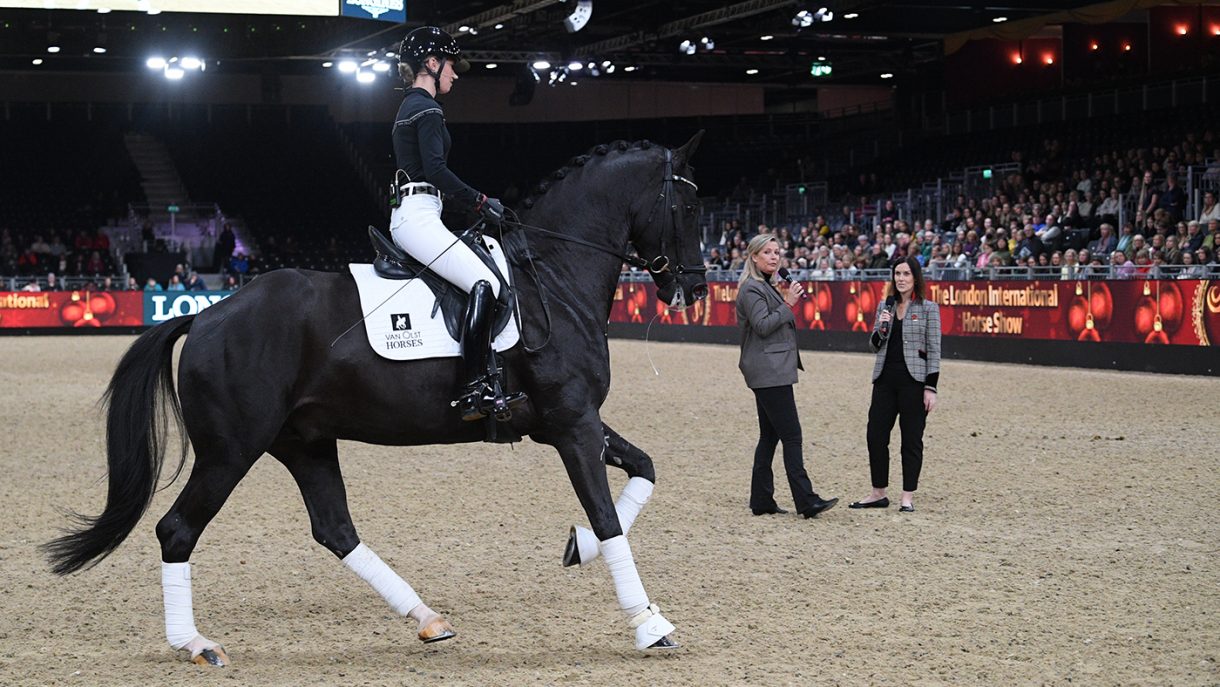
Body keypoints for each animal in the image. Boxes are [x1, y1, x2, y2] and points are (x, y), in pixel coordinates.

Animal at [43, 132, 709, 665]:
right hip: (231, 450)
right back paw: (196, 644)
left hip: (304, 442)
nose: (695, 289)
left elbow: (644, 470)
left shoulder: (568, 421)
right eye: (686, 205)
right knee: (178, 529)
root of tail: (206, 316)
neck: (552, 276)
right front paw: (649, 624)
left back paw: (428, 620)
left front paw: (579, 546)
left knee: (335, 528)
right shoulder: (572, 423)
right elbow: (607, 514)